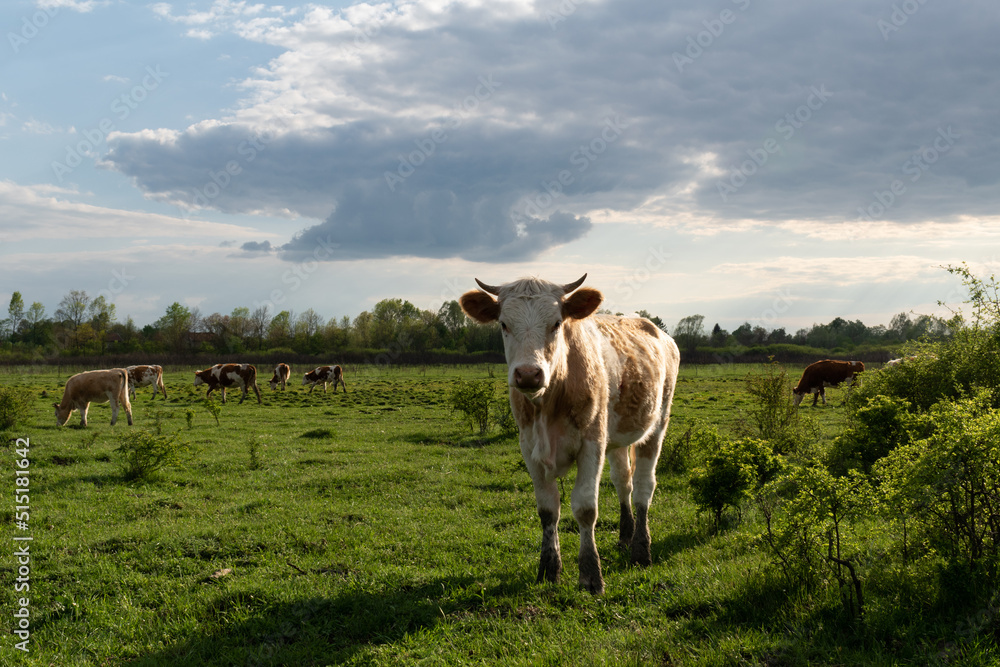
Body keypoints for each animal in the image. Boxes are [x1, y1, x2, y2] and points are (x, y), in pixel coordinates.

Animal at [460, 274, 680, 594]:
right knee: (623, 482)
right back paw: (625, 537)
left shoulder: (591, 444)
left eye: (556, 323)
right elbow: (548, 510)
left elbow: (586, 508)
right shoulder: (529, 449)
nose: (528, 374)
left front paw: (590, 575)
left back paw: (641, 549)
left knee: (643, 486)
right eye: (503, 324)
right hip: (615, 437)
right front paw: (549, 569)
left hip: (656, 424)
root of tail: (659, 332)